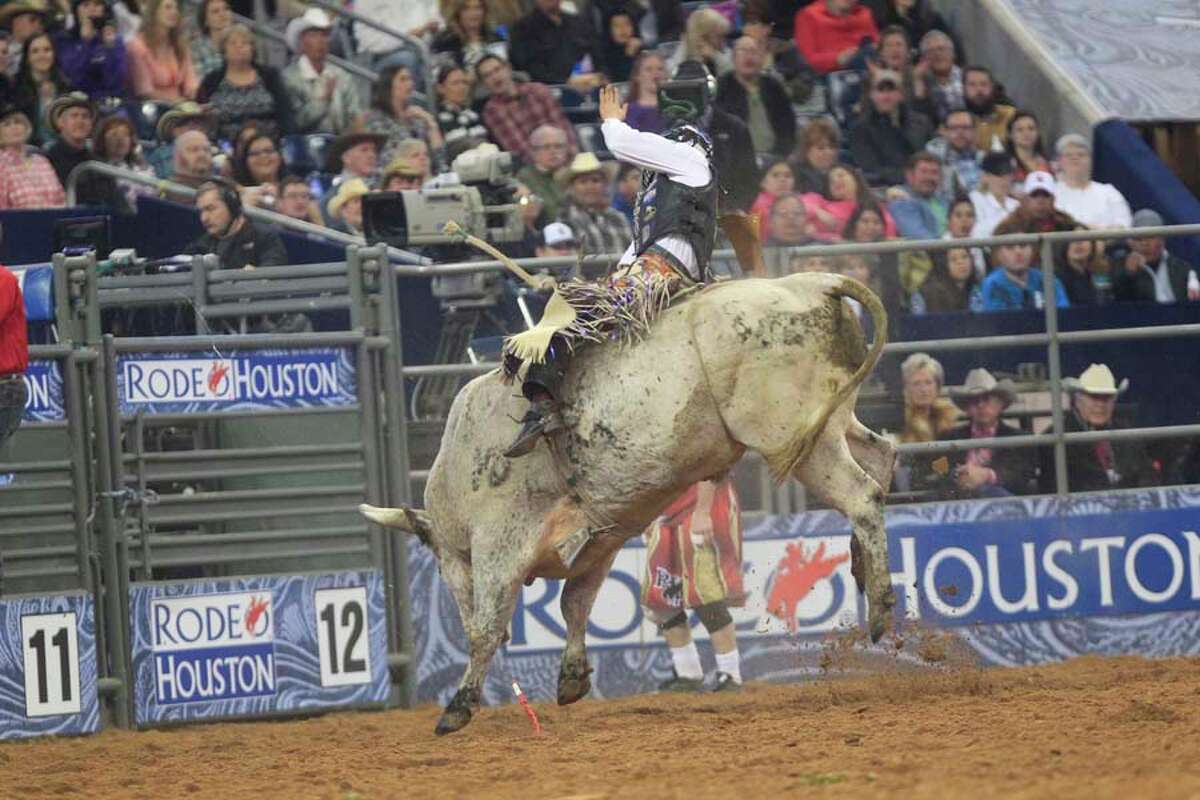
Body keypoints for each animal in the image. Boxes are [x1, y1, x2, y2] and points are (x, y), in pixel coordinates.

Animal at [362, 272, 897, 735]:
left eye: (439, 560)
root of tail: (810, 282)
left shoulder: (499, 544)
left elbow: (486, 628)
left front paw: (457, 707)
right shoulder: (601, 541)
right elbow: (574, 605)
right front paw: (572, 677)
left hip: (798, 438)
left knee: (863, 495)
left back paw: (880, 610)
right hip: (832, 422)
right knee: (884, 456)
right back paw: (862, 567)